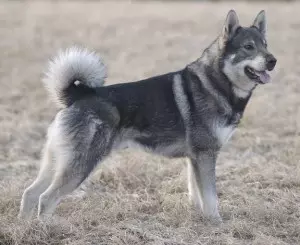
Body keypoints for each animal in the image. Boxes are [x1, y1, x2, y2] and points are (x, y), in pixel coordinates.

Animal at [18, 9, 276, 222]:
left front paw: (198, 217)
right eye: (248, 47)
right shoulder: (205, 155)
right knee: (46, 199)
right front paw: (216, 223)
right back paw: (47, 227)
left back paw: (26, 227)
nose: (273, 61)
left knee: (30, 193)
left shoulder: (195, 158)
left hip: (57, 161)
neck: (216, 83)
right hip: (80, 166)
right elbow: (211, 198)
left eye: (265, 45)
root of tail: (77, 95)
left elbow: (197, 194)